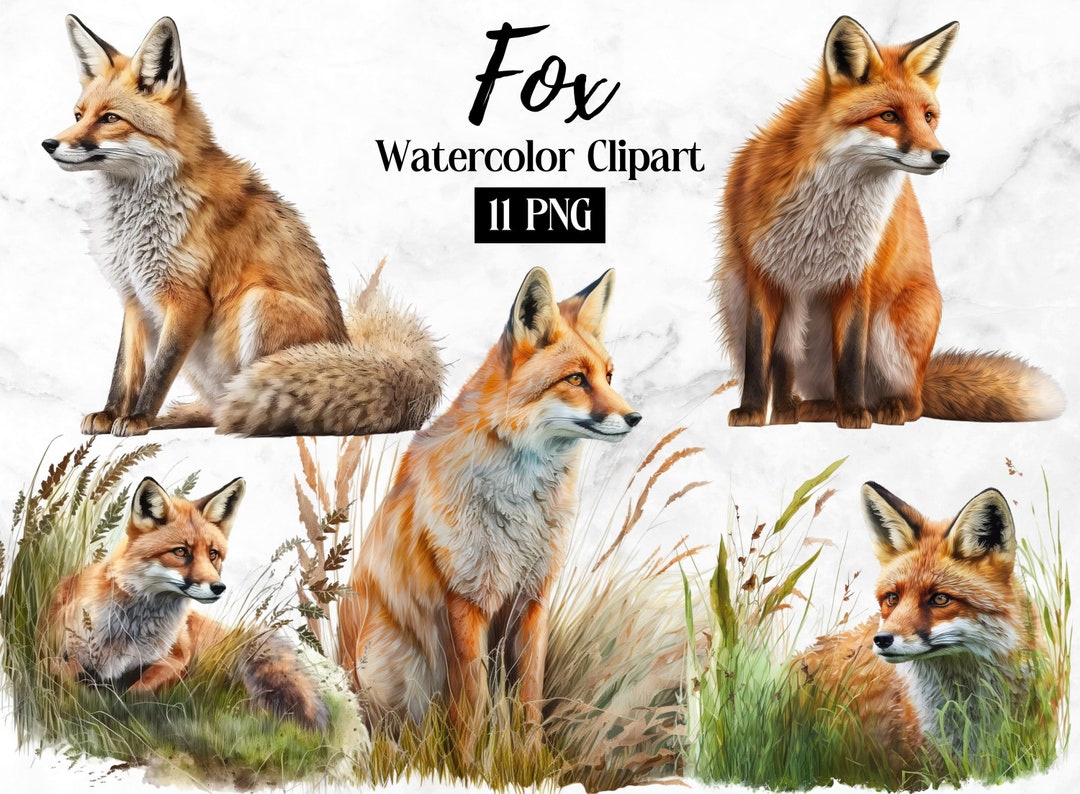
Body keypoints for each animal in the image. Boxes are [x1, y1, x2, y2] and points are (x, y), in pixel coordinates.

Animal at [42, 16, 443, 437]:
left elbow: (159, 374)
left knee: (254, 401)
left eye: (110, 119)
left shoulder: (186, 299)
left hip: (260, 302)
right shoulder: (134, 297)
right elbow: (125, 370)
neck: (134, 223)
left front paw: (137, 420)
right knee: (218, 405)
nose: (48, 144)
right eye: (78, 115)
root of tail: (346, 343)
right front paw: (110, 414)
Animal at [47, 476, 329, 729]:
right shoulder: (54, 647)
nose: (219, 587)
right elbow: (58, 671)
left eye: (213, 554)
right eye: (181, 552)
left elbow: (136, 693)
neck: (130, 631)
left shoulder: (177, 659)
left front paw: (117, 705)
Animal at [338, 267, 642, 752]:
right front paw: (469, 762)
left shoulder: (532, 600)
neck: (520, 507)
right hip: (392, 662)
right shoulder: (466, 600)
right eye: (577, 379)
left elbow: (530, 699)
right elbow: (471, 707)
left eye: (609, 376)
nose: (634, 418)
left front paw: (533, 758)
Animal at [711, 16, 1064, 428]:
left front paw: (853, 414)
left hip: (890, 328)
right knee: (792, 365)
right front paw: (754, 411)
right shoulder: (763, 274)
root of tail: (922, 378)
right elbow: (760, 357)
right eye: (889, 116)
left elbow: (850, 358)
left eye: (928, 117)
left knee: (912, 404)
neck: (822, 215)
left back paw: (878, 408)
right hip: (738, 295)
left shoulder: (857, 275)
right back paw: (798, 410)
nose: (942, 155)